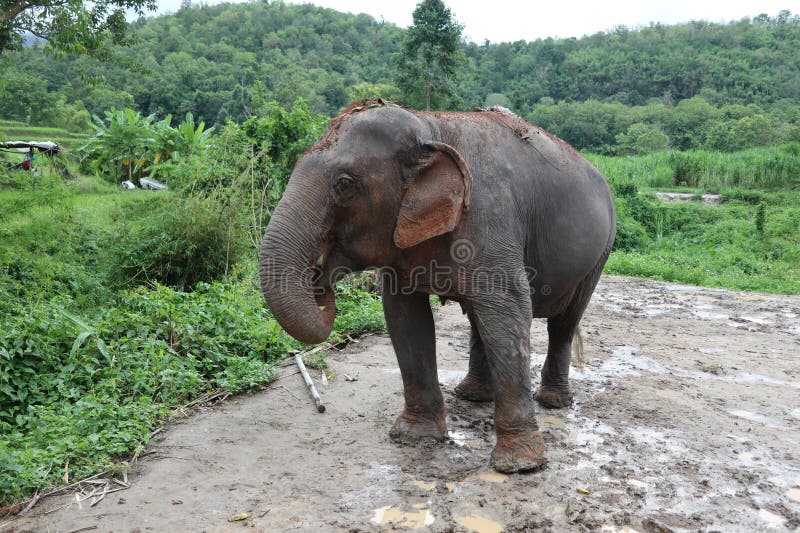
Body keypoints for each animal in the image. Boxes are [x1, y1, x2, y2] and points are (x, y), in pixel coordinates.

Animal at [259, 99, 616, 473]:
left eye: (344, 183)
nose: (320, 277)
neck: (429, 126)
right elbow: (405, 317)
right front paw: (415, 438)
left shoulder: (490, 216)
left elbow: (509, 309)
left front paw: (520, 465)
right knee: (481, 319)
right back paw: (472, 394)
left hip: (601, 251)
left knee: (563, 321)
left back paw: (552, 401)